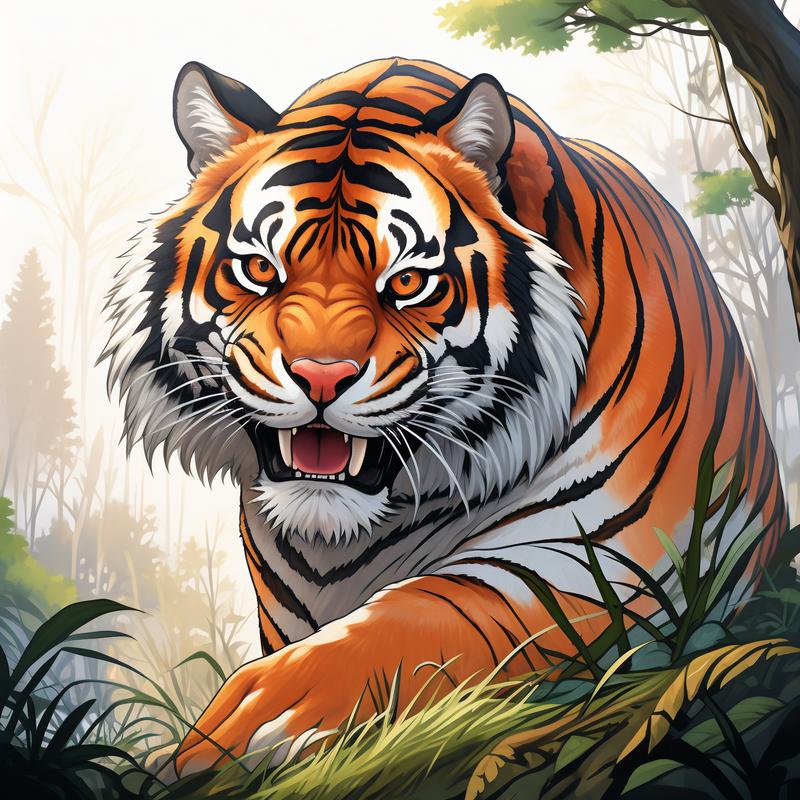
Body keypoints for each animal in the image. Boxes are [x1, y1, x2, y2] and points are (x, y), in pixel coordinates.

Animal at [103, 57, 787, 776]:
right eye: (261, 268)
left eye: (407, 282)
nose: (321, 375)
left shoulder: (607, 553)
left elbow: (432, 619)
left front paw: (256, 723)